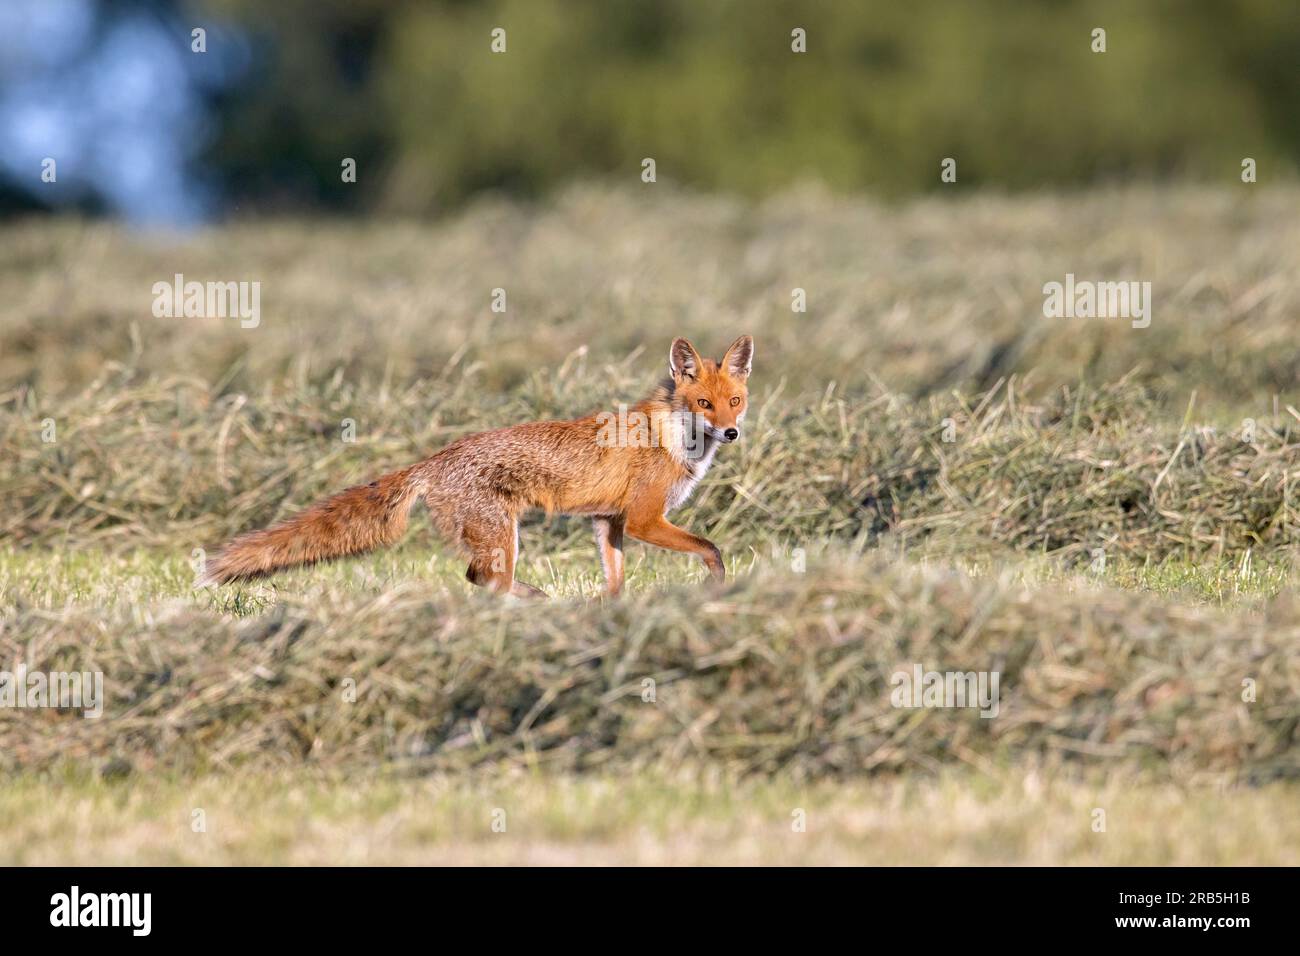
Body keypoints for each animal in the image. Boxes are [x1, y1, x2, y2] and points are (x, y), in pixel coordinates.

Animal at [200, 335, 754, 597]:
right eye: (703, 403)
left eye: (735, 401)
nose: (730, 432)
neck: (674, 438)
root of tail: (432, 459)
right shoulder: (643, 518)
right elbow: (711, 548)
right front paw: (718, 586)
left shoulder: (608, 521)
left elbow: (615, 582)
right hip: (503, 541)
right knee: (482, 580)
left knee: (476, 579)